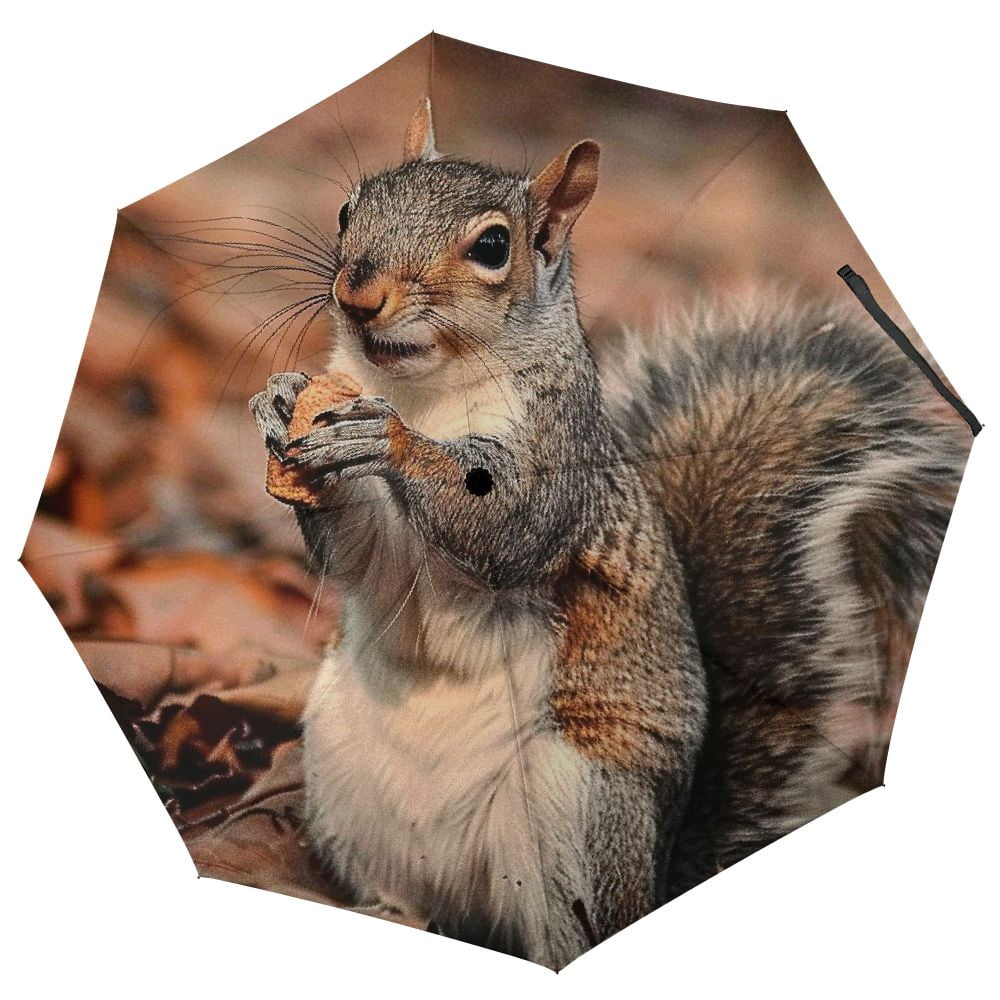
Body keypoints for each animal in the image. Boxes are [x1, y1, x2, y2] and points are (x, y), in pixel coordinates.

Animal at [249, 98, 971, 968]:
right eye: (348, 209)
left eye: (492, 247)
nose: (359, 294)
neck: (424, 387)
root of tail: (659, 879)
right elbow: (359, 557)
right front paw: (282, 404)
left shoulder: (563, 463)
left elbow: (509, 529)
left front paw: (382, 439)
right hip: (342, 775)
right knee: (417, 898)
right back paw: (387, 912)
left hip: (581, 811)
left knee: (571, 930)